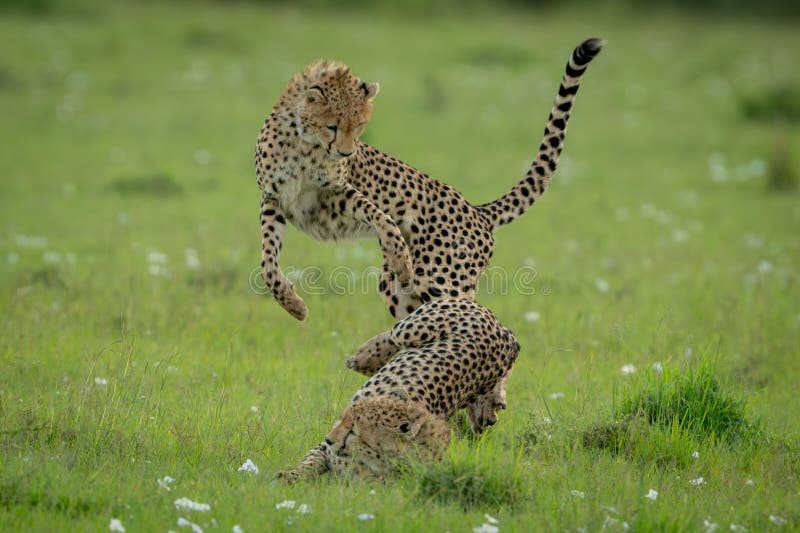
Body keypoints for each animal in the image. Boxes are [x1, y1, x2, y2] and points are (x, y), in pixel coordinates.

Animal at [256, 38, 604, 321]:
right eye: (332, 126)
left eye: (359, 126)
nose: (345, 152)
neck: (301, 141)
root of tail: (476, 210)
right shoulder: (273, 199)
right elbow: (268, 262)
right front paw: (293, 304)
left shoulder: (337, 192)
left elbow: (378, 213)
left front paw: (399, 254)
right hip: (402, 290)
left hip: (442, 281)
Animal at [277, 299, 520, 482]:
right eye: (346, 419)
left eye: (355, 432)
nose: (330, 439)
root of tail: (505, 333)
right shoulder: (323, 447)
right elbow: (310, 463)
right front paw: (290, 477)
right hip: (415, 327)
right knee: (394, 332)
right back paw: (365, 355)